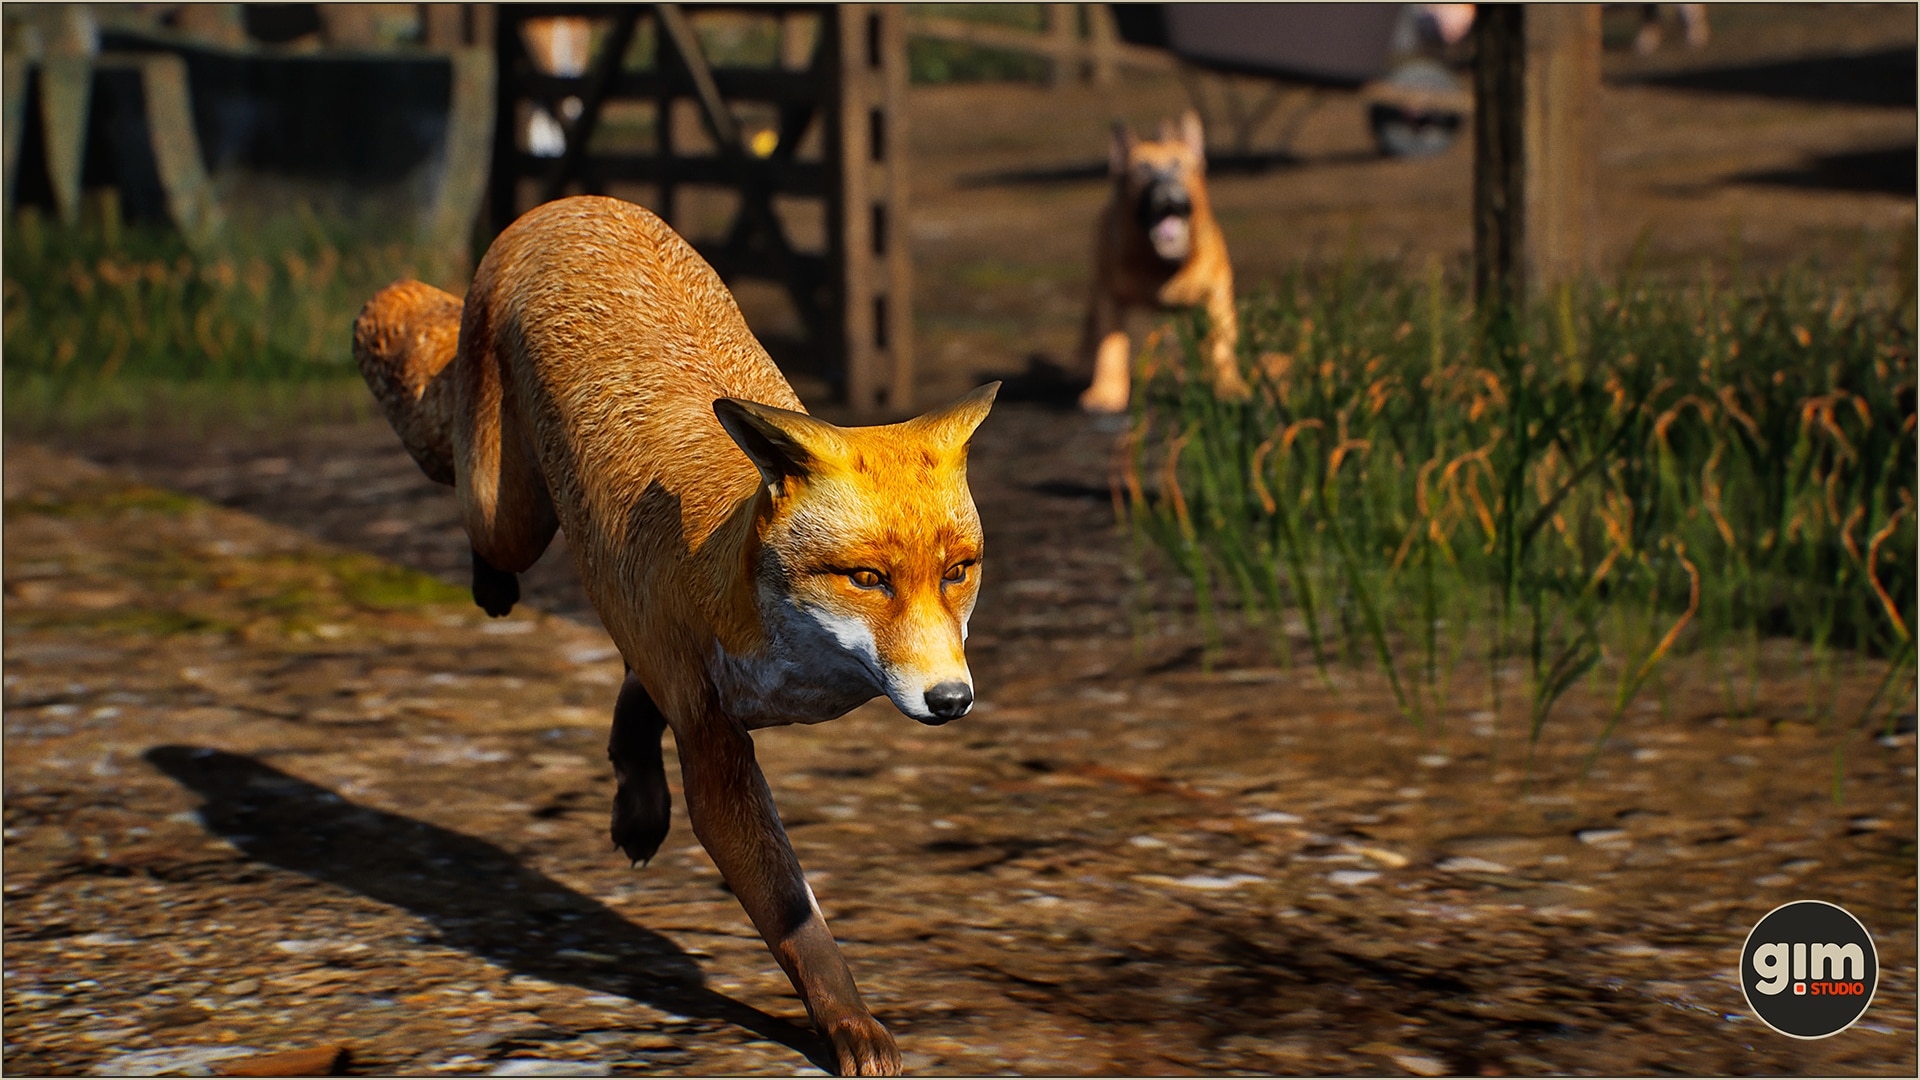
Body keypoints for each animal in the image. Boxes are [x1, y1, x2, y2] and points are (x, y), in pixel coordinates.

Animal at [352, 195, 998, 1077]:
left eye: (957, 572)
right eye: (868, 579)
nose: (951, 699)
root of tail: (569, 205)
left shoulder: (671, 663)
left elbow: (637, 695)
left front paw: (636, 796)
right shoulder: (713, 748)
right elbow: (794, 916)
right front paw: (844, 1019)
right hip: (508, 512)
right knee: (474, 504)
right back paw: (488, 582)